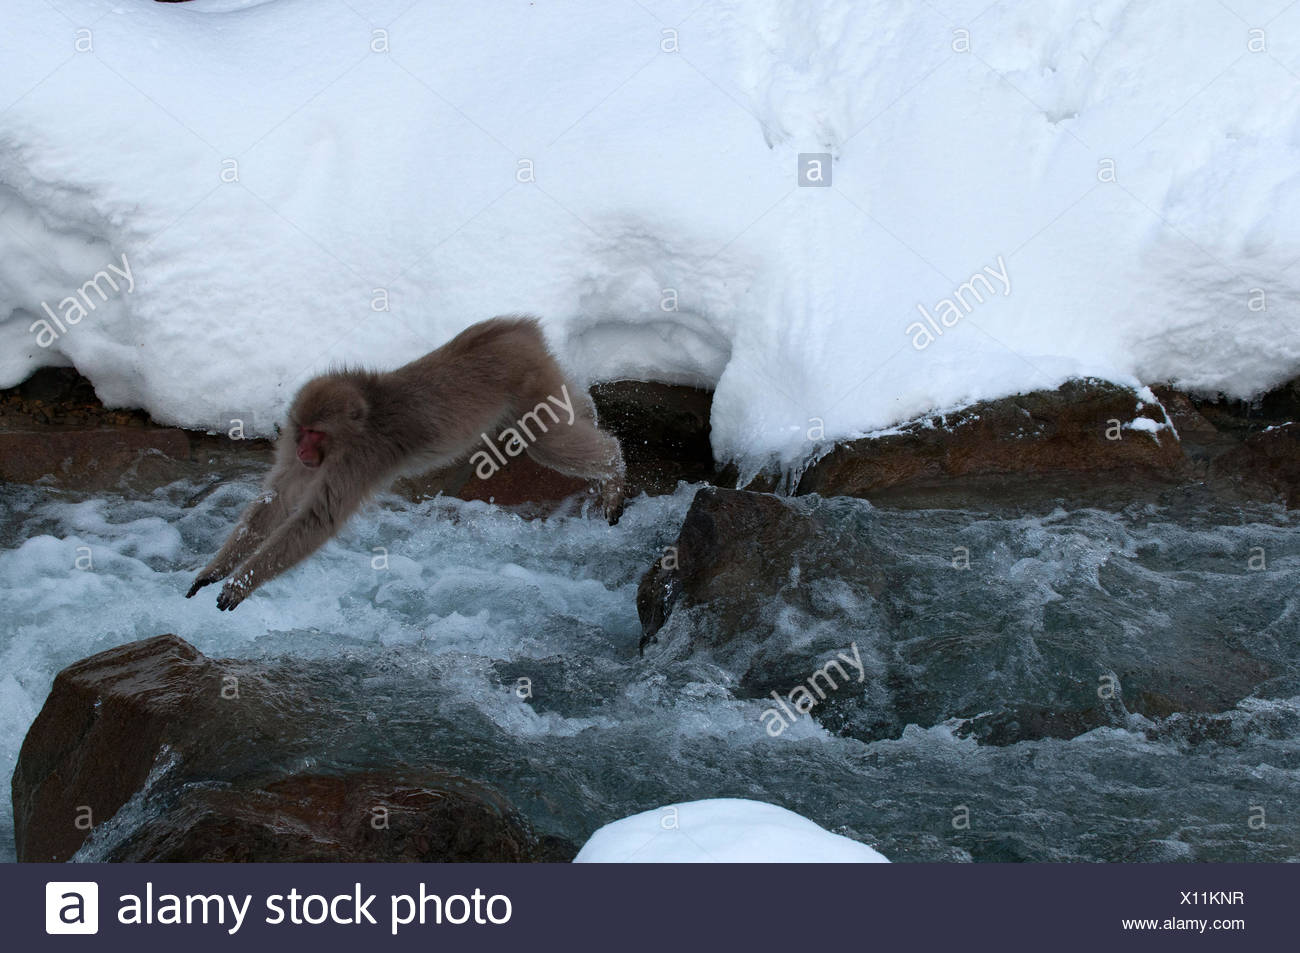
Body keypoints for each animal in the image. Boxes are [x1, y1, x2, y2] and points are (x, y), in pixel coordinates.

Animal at [187, 316, 625, 611]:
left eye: (317, 433)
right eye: (303, 430)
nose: (302, 451)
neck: (361, 422)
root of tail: (516, 328)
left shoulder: (358, 461)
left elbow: (318, 520)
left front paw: (242, 584)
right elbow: (275, 499)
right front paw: (214, 571)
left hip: (530, 384)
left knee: (549, 443)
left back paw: (616, 472)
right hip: (545, 378)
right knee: (569, 414)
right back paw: (595, 428)